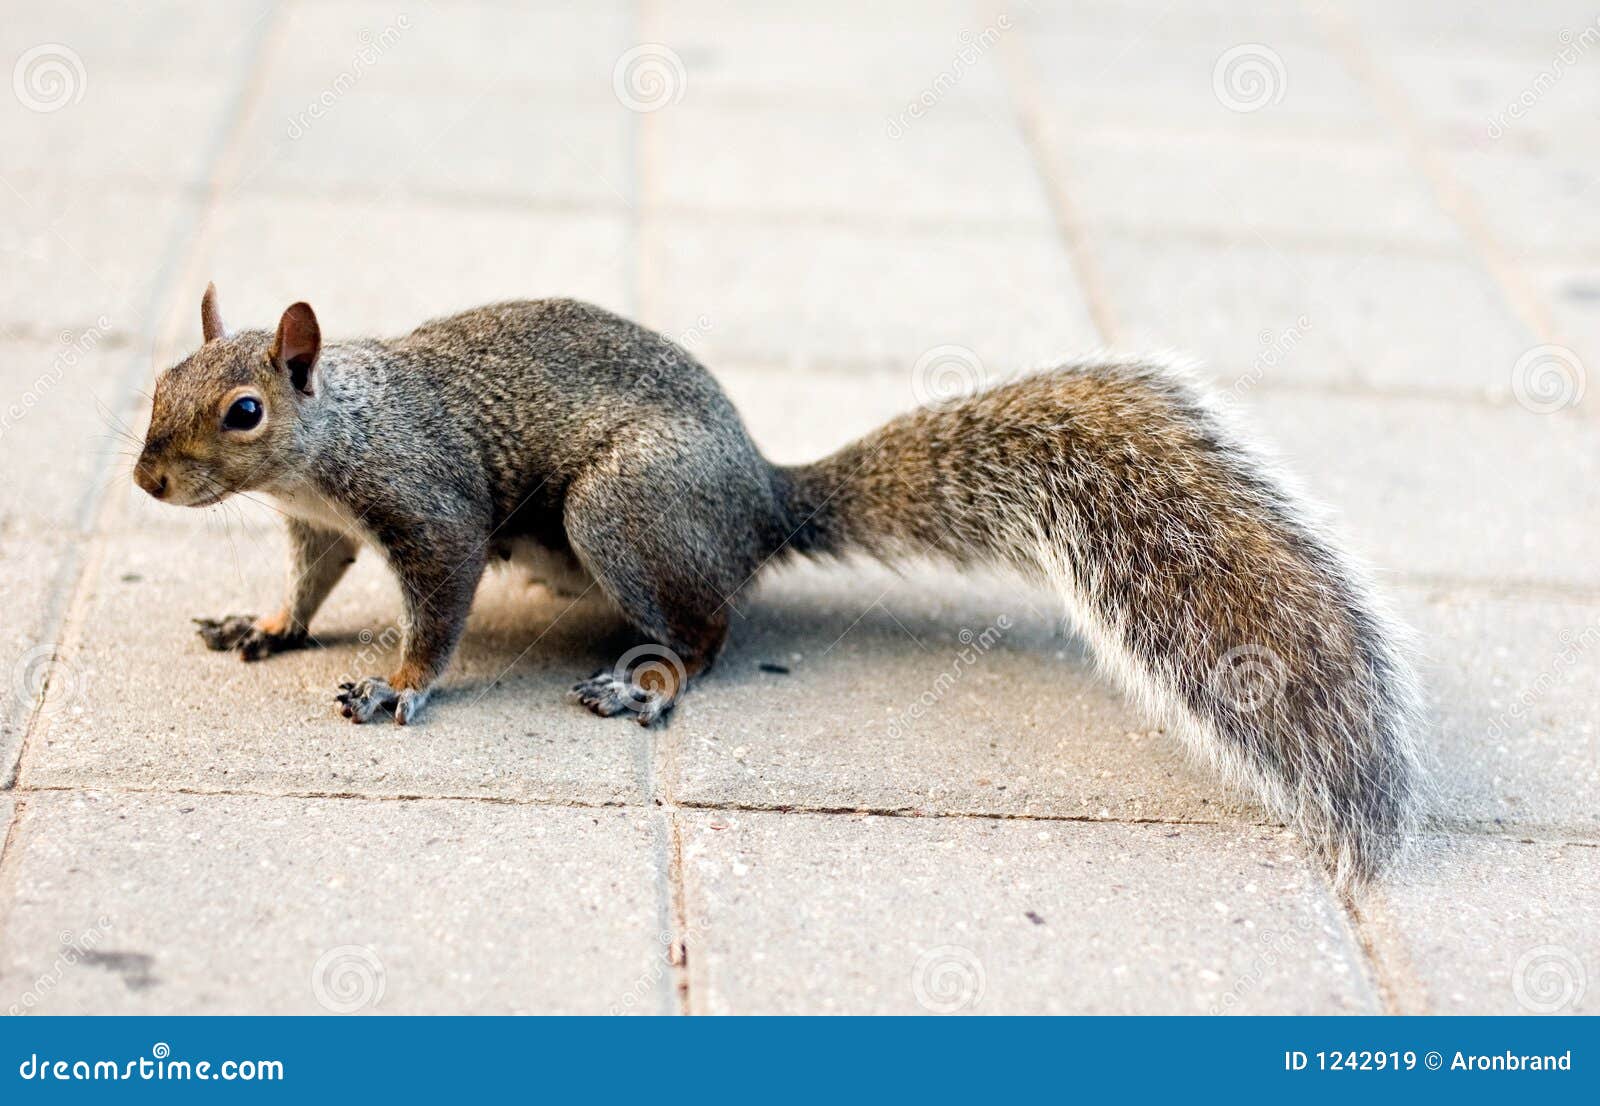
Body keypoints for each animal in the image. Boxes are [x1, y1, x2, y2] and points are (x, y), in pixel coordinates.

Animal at [135, 285, 1424, 887]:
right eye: (157, 380)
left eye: (243, 409)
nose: (146, 478)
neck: (334, 436)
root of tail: (761, 498)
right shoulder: (319, 528)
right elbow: (308, 585)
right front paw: (265, 624)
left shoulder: (429, 505)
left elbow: (437, 605)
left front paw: (398, 685)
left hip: (622, 510)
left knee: (707, 626)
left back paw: (649, 676)